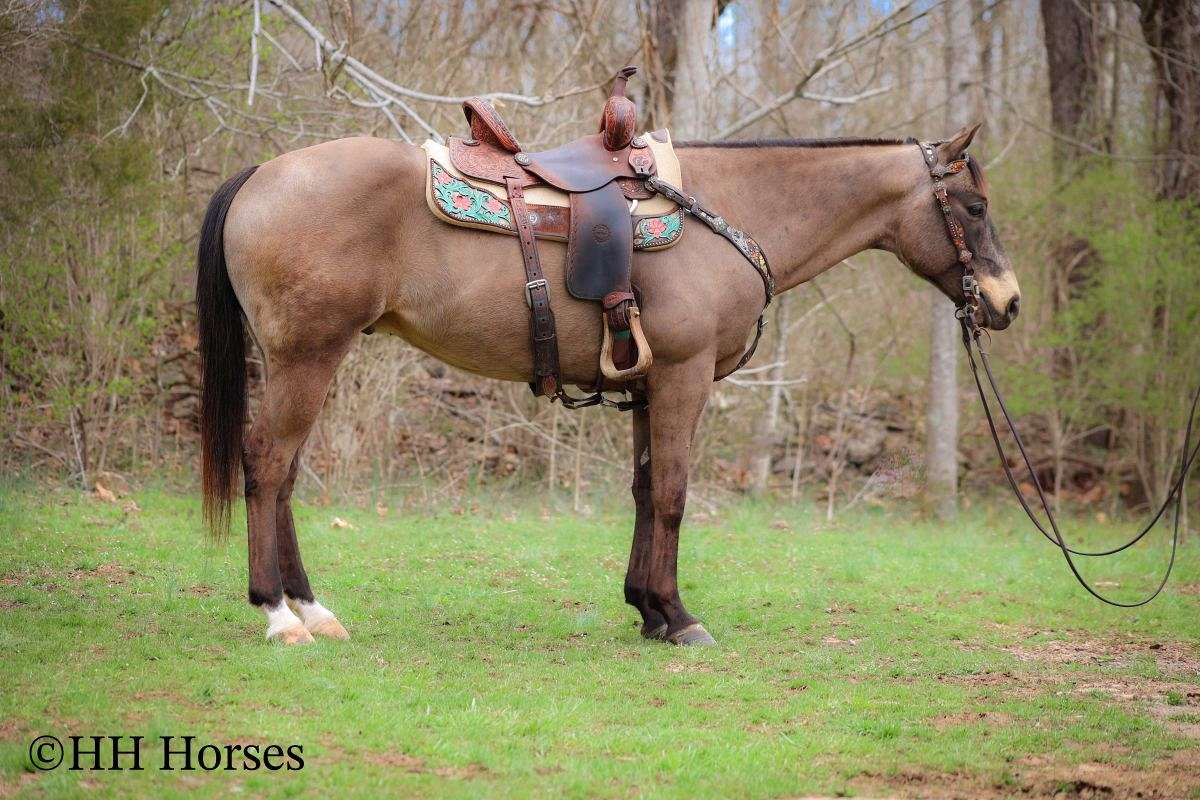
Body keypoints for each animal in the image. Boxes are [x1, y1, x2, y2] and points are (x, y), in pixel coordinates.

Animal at [196, 121, 1019, 645]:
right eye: (975, 206)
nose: (1008, 303)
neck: (732, 210)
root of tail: (261, 173)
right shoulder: (685, 377)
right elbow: (674, 493)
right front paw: (680, 617)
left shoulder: (649, 387)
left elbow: (644, 491)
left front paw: (647, 609)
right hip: (307, 357)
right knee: (266, 465)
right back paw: (278, 615)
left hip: (306, 361)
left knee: (284, 474)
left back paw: (313, 608)